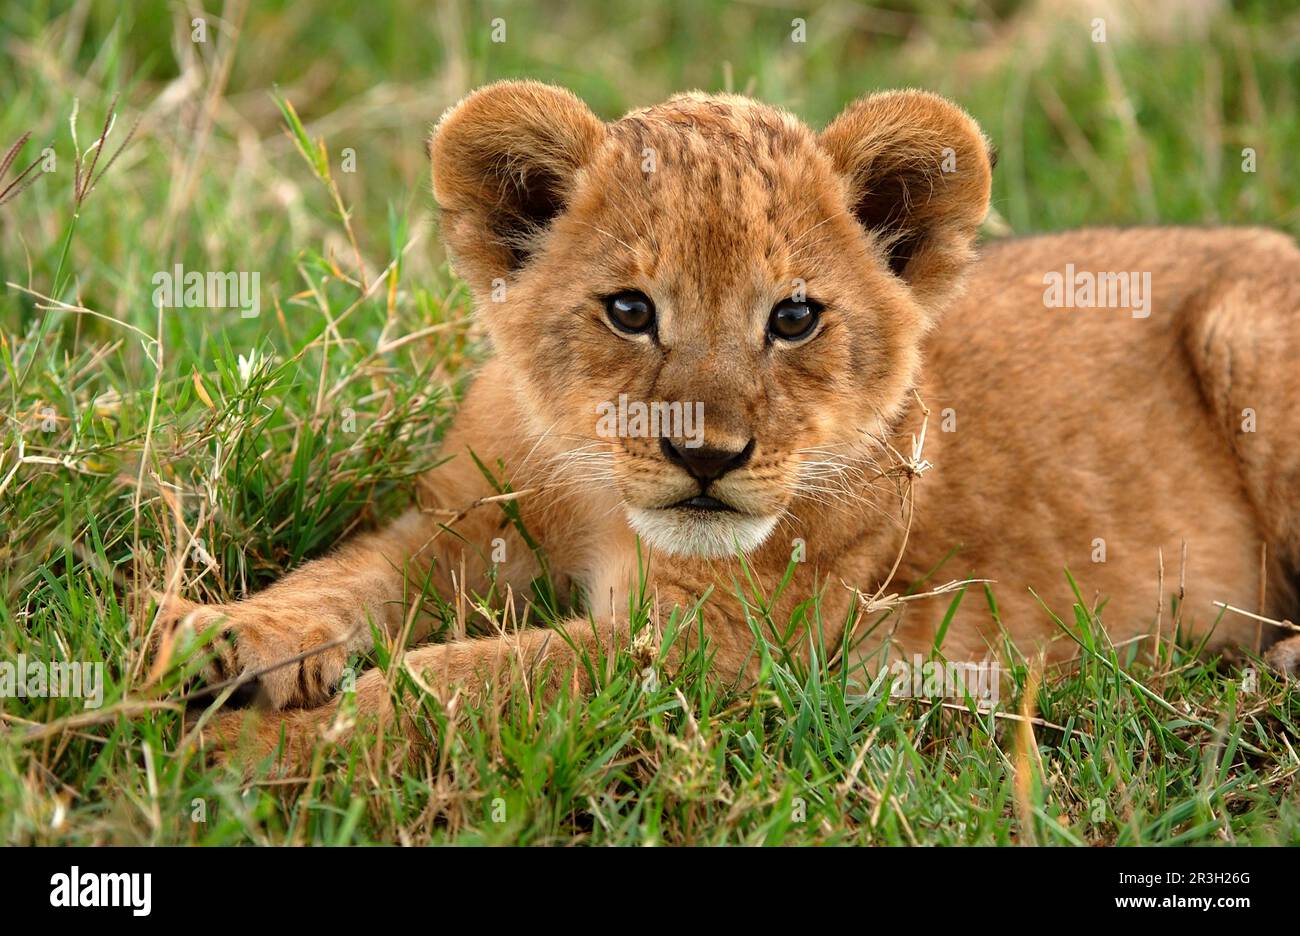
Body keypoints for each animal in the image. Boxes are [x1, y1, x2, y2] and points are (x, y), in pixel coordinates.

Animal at [156, 82, 1300, 766]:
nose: (704, 457)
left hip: (1247, 336)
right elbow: (348, 577)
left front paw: (246, 754)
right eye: (629, 310)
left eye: (792, 318)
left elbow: (454, 684)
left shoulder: (714, 645)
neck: (596, 494)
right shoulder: (456, 524)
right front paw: (217, 640)